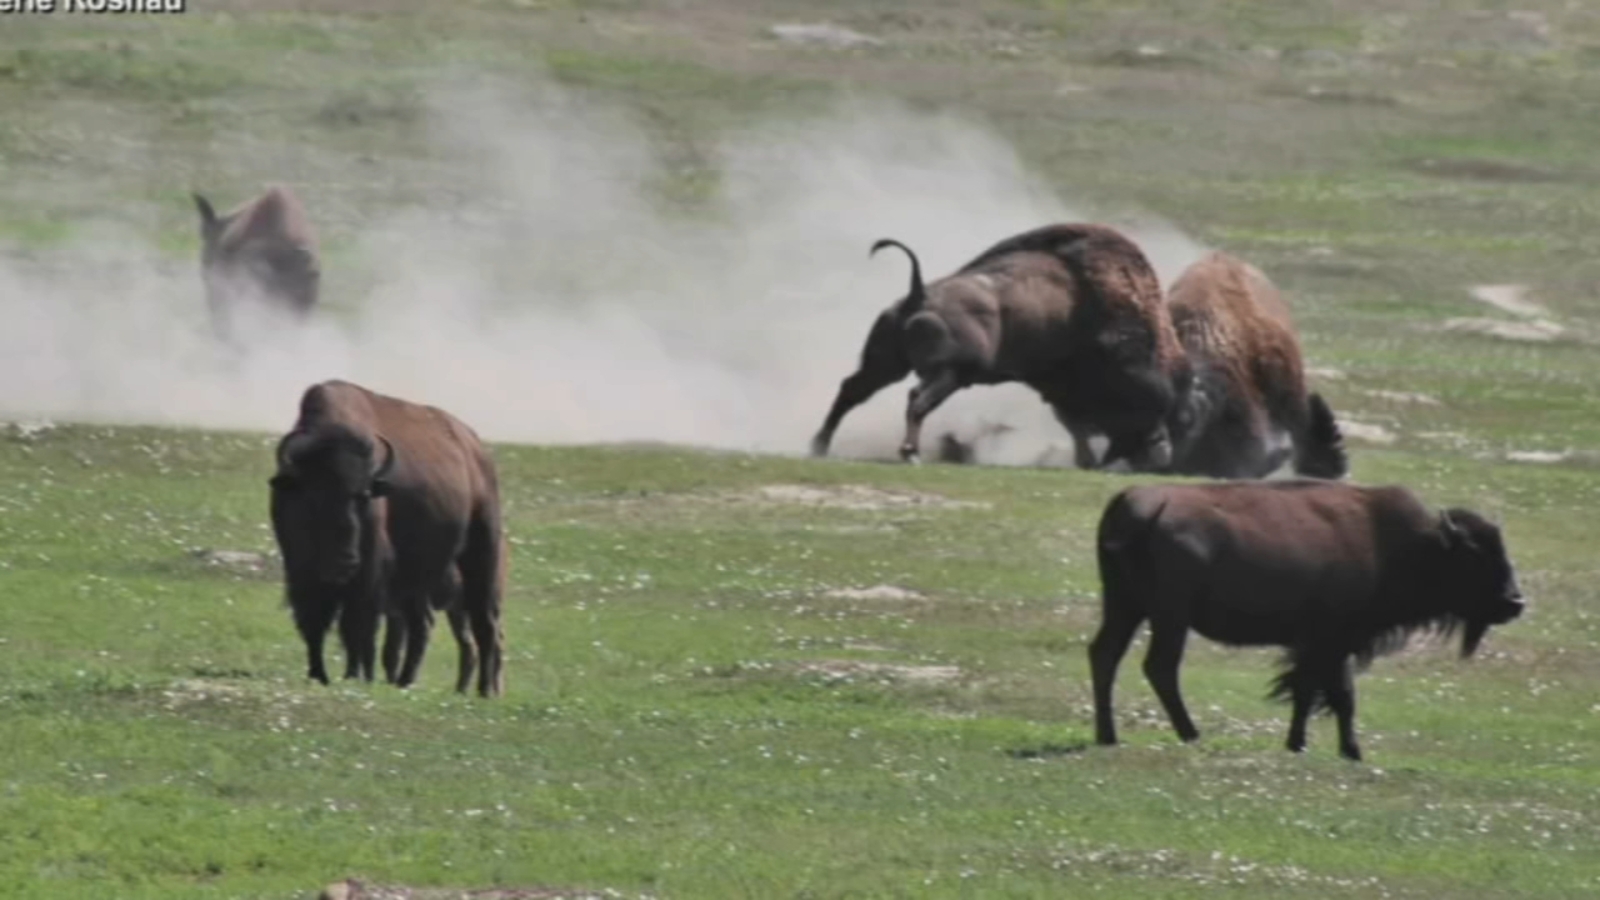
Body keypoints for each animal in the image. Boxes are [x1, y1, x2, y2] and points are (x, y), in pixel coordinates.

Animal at [268, 379, 507, 697]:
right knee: (422, 626)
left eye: (362, 496)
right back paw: (406, 681)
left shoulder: (369, 573)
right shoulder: (300, 569)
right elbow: (314, 622)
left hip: (480, 557)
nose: (344, 561)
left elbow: (358, 625)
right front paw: (319, 675)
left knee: (485, 623)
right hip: (418, 580)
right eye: (312, 497)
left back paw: (485, 691)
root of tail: (476, 449)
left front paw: (357, 675)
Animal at [809, 223, 1190, 470]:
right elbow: (1074, 423)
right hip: (948, 374)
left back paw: (819, 446)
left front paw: (1086, 460)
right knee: (916, 400)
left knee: (851, 391)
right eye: (1142, 395)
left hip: (886, 365)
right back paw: (910, 453)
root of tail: (919, 293)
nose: (1161, 452)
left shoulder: (1050, 386)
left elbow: (1072, 424)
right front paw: (1088, 460)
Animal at [1089, 480, 1525, 760]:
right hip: (1169, 616)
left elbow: (1321, 692)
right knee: (1160, 666)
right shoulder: (1329, 640)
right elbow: (1329, 693)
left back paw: (1107, 736)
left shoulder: (1325, 644)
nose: (1515, 602)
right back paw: (1191, 733)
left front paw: (1321, 747)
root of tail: (1132, 506)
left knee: (1105, 655)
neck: (1404, 545)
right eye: (1475, 555)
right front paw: (1335, 749)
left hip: (1125, 606)